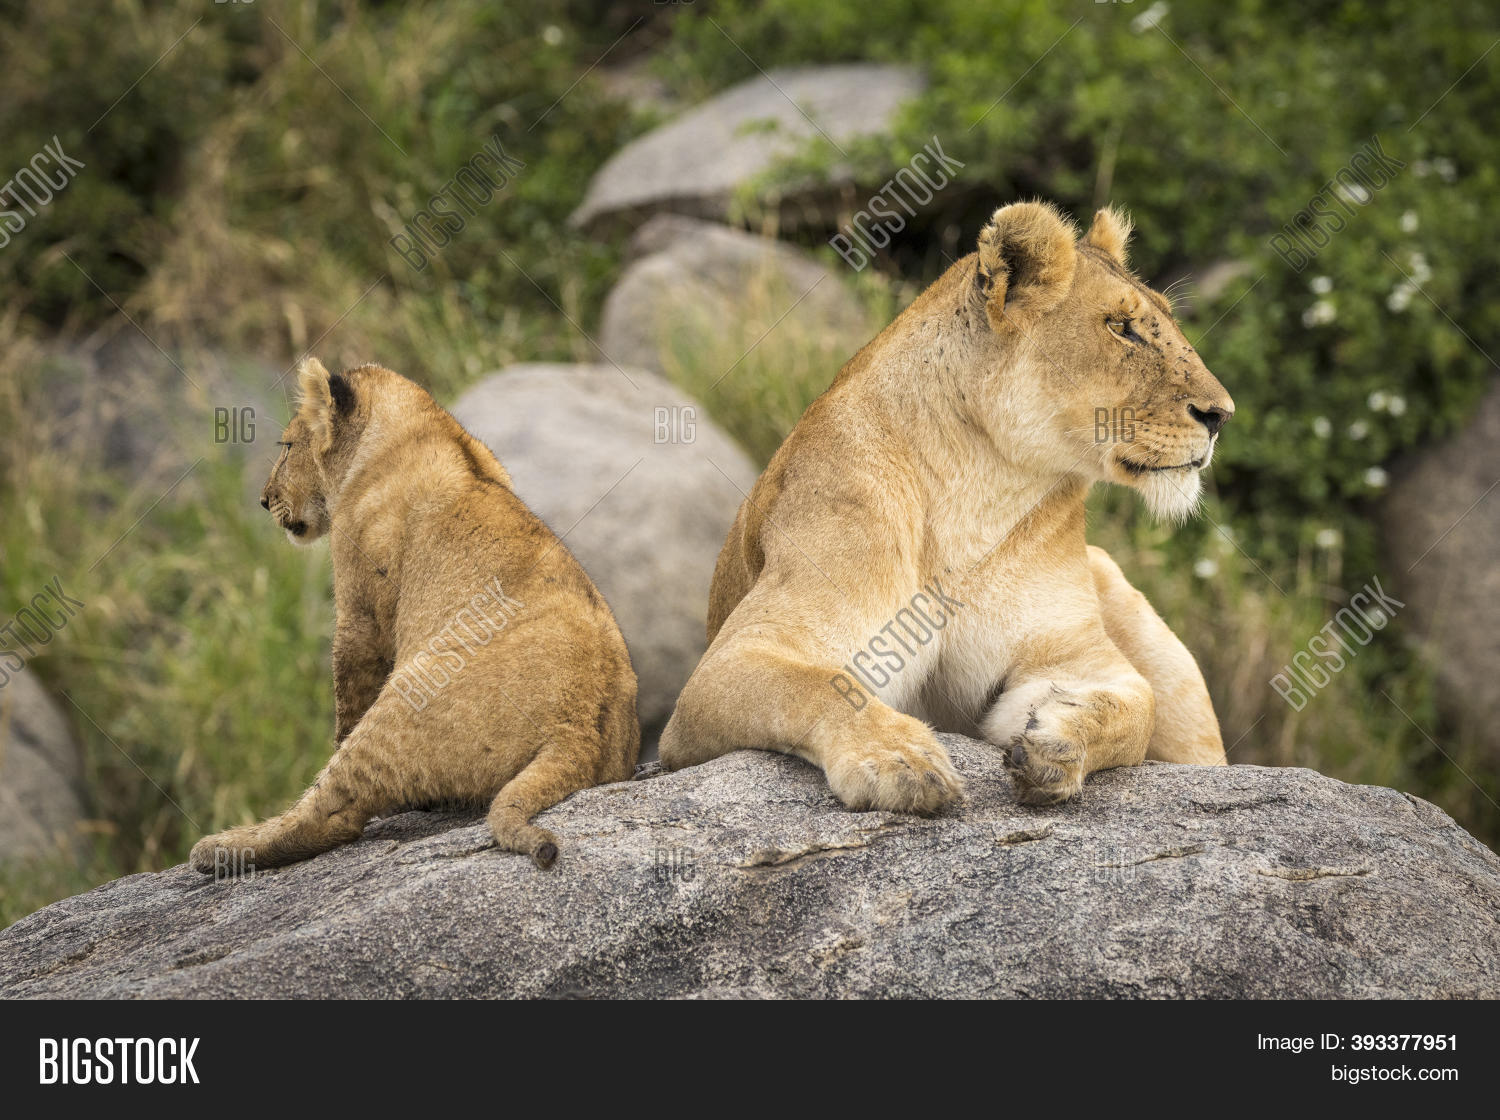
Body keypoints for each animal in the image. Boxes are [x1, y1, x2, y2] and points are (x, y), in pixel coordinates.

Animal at [190, 359, 639, 873]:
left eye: (286, 447)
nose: (265, 501)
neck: (421, 427)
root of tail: (579, 731)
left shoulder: (360, 611)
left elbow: (346, 701)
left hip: (406, 695)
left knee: (336, 812)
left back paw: (225, 847)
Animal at [659, 201, 1233, 810]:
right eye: (1120, 327)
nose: (1222, 414)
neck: (982, 490)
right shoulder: (735, 660)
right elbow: (816, 686)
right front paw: (900, 760)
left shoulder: (1071, 653)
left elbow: (1137, 706)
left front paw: (1056, 744)